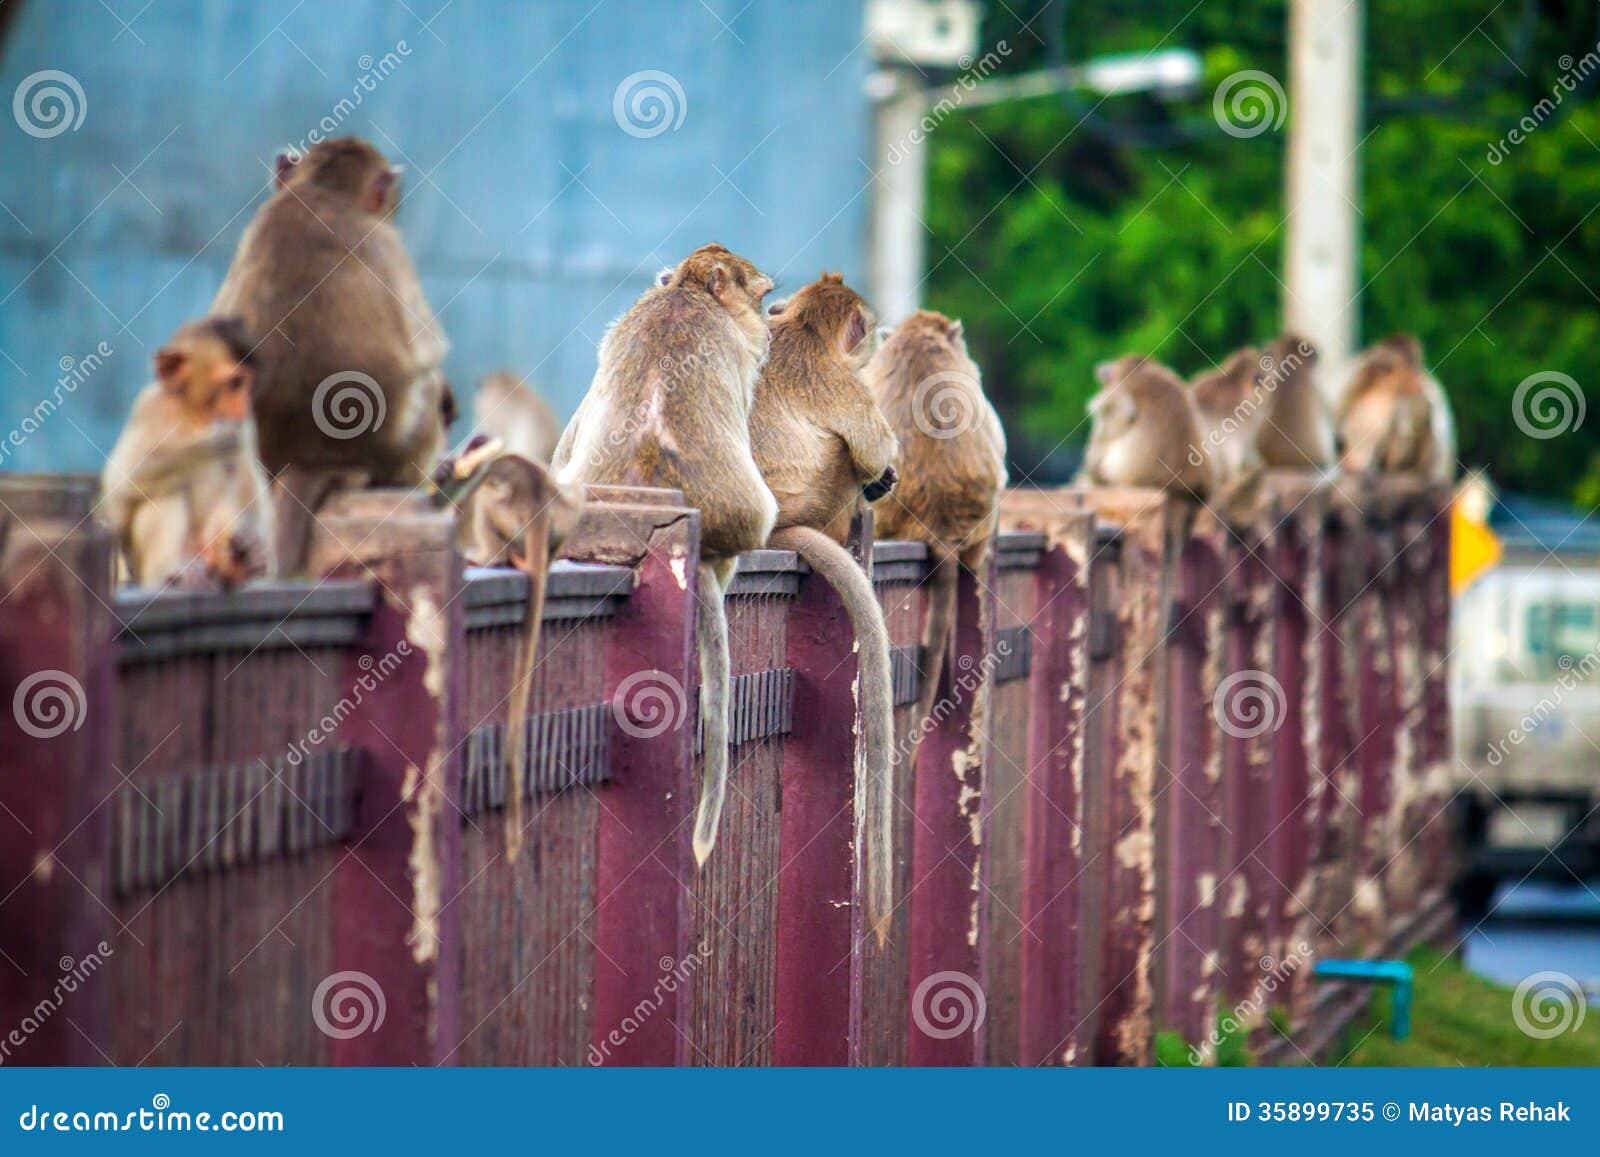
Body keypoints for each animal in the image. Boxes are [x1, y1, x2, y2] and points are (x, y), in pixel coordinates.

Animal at [99, 317, 276, 590]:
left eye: (249, 383)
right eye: (235, 383)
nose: (244, 405)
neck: (194, 414)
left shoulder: (246, 425)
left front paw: (255, 547)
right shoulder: (149, 407)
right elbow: (124, 483)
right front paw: (218, 439)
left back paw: (237, 566)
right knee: (166, 490)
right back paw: (171, 573)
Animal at [210, 137, 450, 573]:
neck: (321, 189)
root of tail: (313, 458)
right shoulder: (388, 245)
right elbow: (428, 351)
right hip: (392, 449)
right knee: (426, 388)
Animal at [433, 435, 584, 860]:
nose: (461, 454)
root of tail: (538, 502)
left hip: (506, 512)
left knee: (487, 499)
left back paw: (494, 558)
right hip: (563, 512)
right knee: (576, 499)